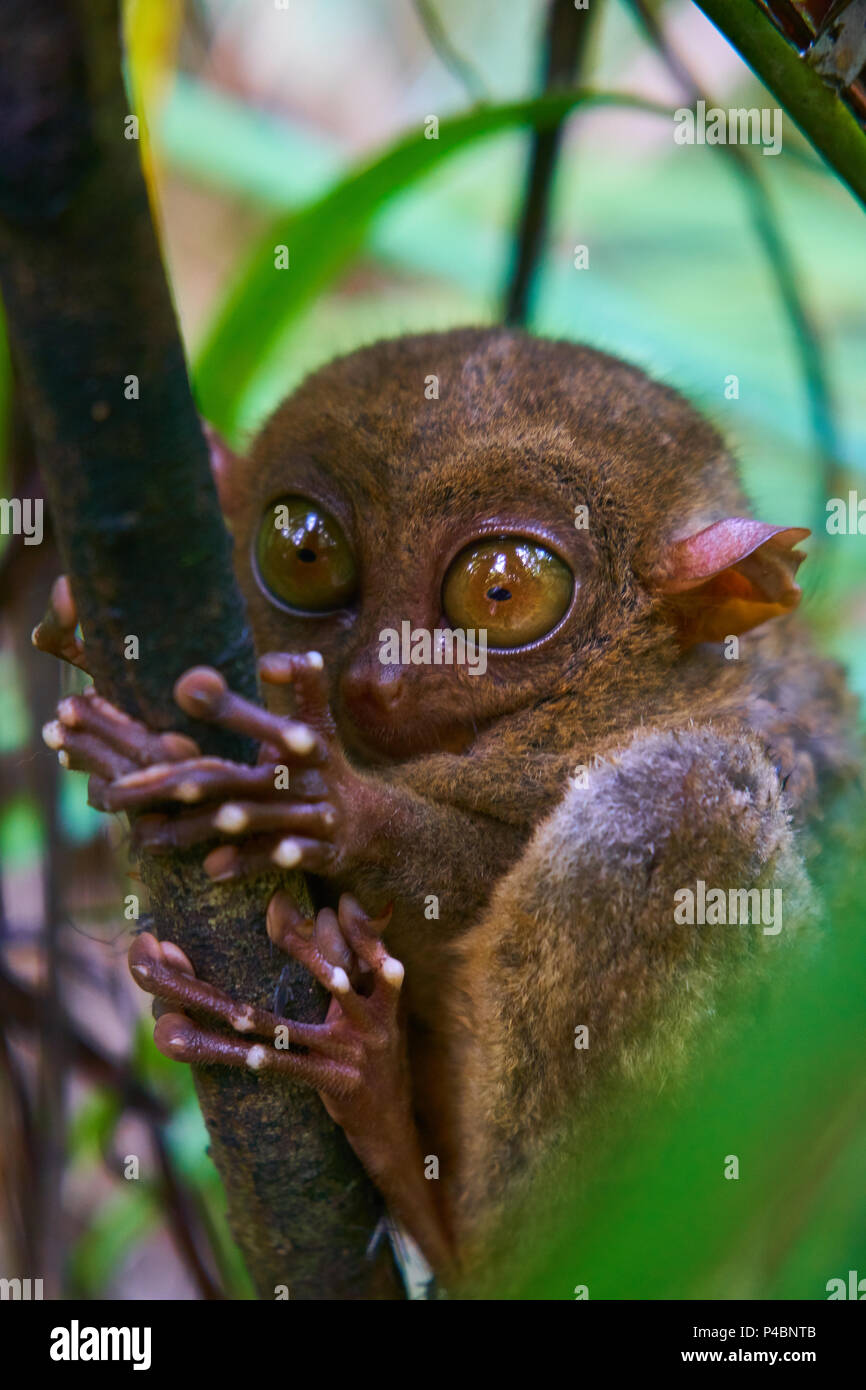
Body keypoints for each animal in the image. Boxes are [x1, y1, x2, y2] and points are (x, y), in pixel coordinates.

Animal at [35, 328, 859, 1288]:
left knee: (678, 799)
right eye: (304, 551)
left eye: (502, 592)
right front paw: (89, 684)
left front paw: (328, 809)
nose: (375, 677)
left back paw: (388, 1126)